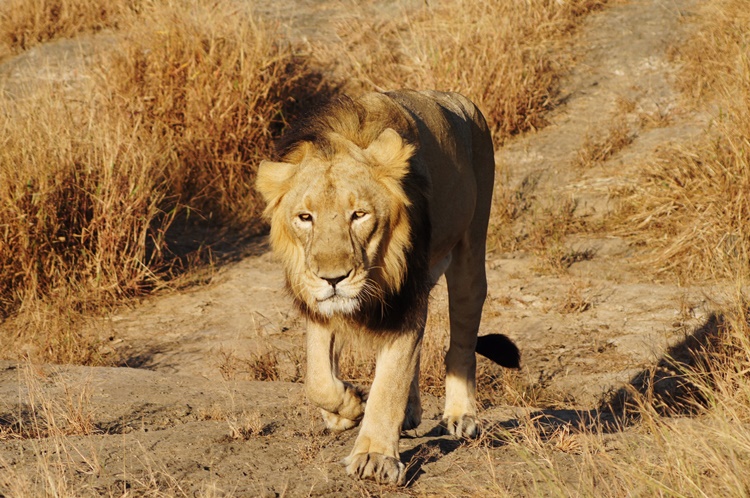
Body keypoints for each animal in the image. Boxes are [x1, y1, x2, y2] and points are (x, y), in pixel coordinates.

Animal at [256, 90, 519, 485]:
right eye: (305, 217)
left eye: (359, 215)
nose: (333, 278)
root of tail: (457, 99)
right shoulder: (321, 305)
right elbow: (318, 378)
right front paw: (347, 407)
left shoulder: (405, 297)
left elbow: (389, 382)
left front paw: (374, 456)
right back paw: (407, 413)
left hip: (471, 252)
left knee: (461, 342)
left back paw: (461, 415)